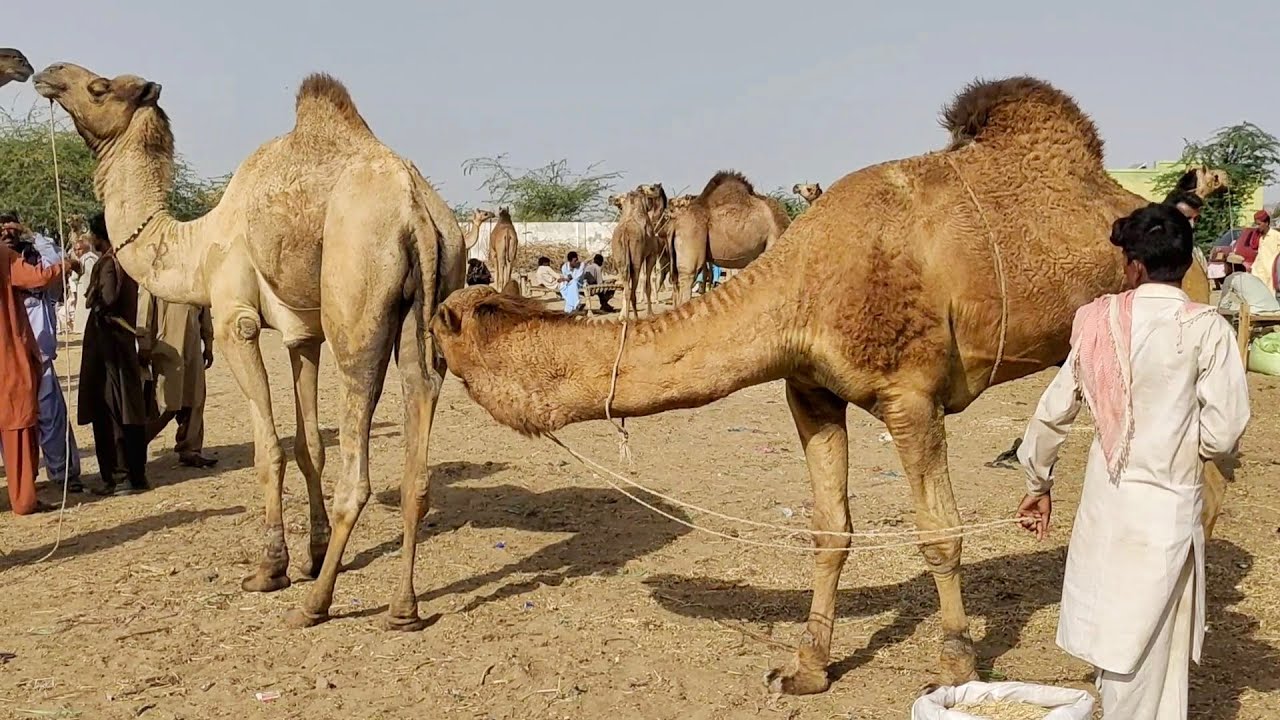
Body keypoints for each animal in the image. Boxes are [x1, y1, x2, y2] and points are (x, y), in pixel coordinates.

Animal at [36, 62, 466, 631]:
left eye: (99, 87)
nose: (47, 74)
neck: (198, 244)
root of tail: (415, 209)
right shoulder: (304, 335)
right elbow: (309, 447)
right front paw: (311, 555)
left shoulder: (234, 320)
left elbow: (271, 451)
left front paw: (272, 569)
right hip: (436, 294)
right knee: (421, 412)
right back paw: (402, 608)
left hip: (358, 301)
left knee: (358, 457)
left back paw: (315, 604)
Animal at [610, 189, 665, 318]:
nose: (611, 199)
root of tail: (625, 234)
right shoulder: (651, 255)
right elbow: (647, 284)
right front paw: (650, 313)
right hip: (636, 259)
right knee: (633, 286)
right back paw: (635, 317)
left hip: (620, 260)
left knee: (626, 288)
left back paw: (626, 318)